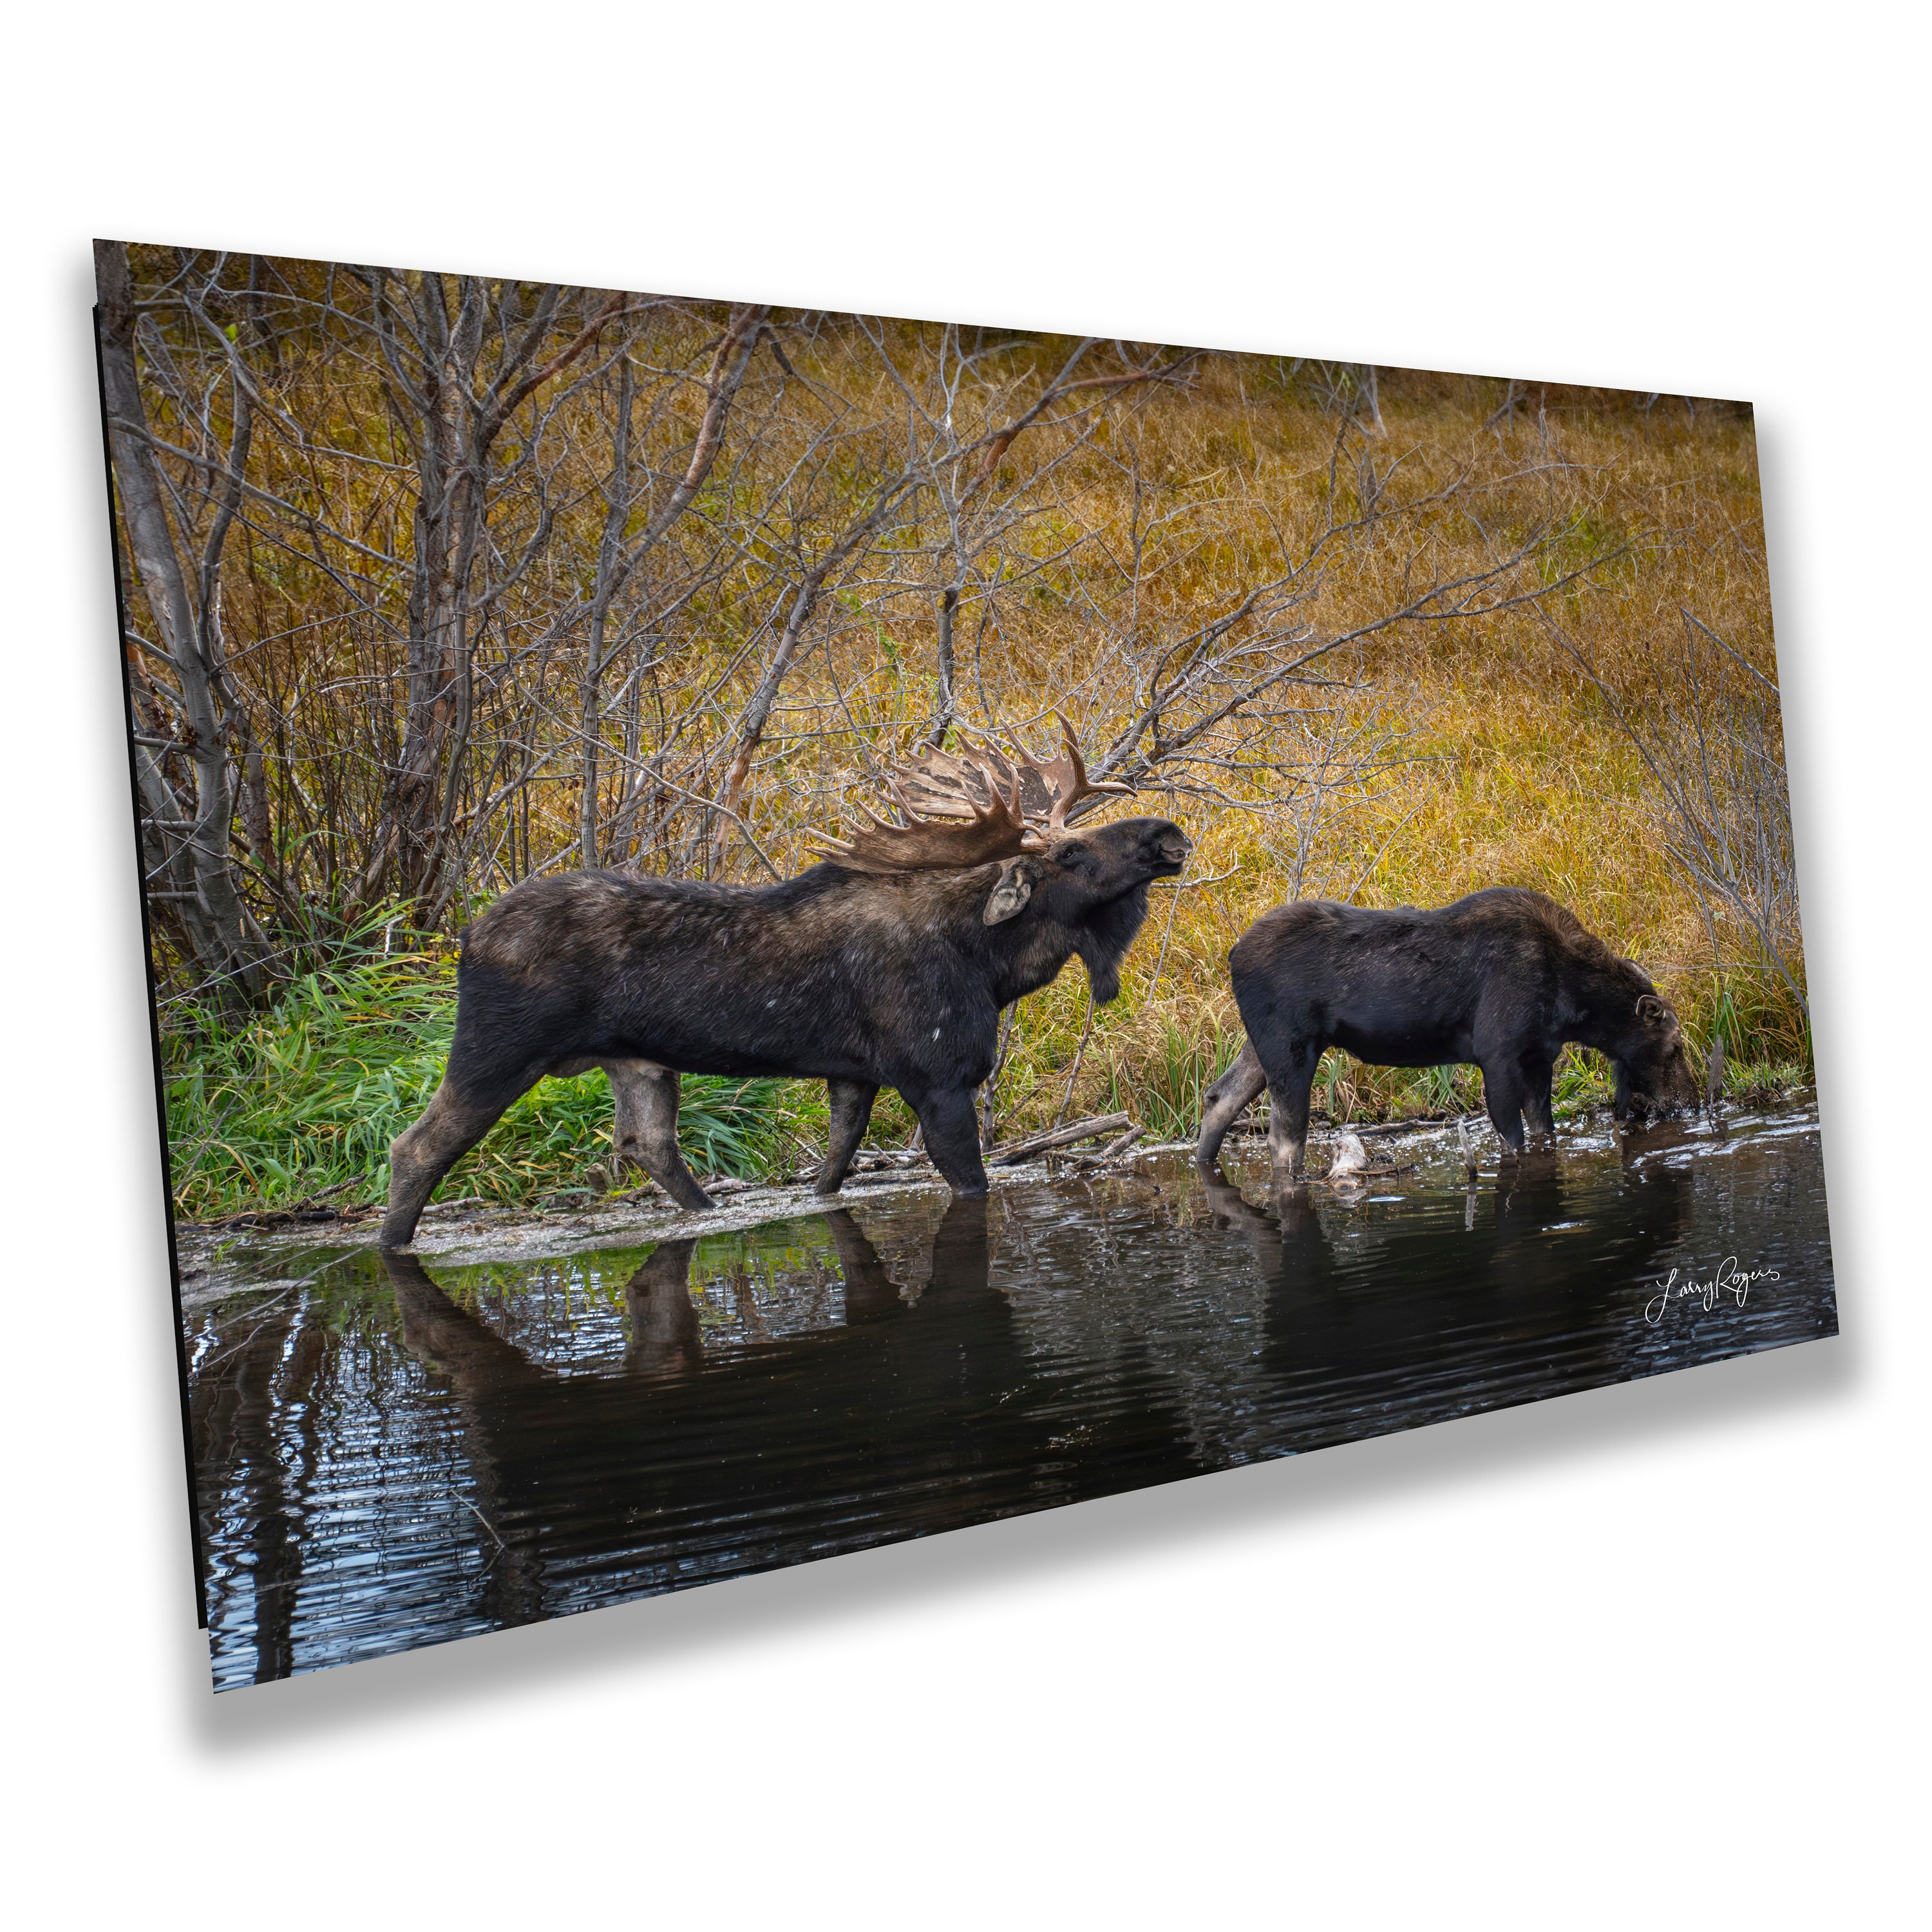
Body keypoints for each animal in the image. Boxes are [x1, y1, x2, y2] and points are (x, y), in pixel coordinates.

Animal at [381, 721, 1189, 1247]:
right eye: (1072, 854)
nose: (1167, 833)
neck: (993, 965)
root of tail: (467, 938)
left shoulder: (855, 1076)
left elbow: (831, 1172)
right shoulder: (937, 1075)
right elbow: (968, 1182)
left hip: (637, 1063)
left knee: (647, 1143)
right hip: (499, 1047)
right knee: (415, 1146)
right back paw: (395, 1245)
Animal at [1195, 887, 1697, 1189]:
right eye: (1675, 1048)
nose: (1687, 1104)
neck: (1575, 1005)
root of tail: (1232, 955)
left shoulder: (1539, 1058)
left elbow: (1543, 1135)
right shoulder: (1497, 1054)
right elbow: (1511, 1138)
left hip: (1269, 1044)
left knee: (1220, 1095)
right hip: (1292, 1048)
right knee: (1283, 1137)